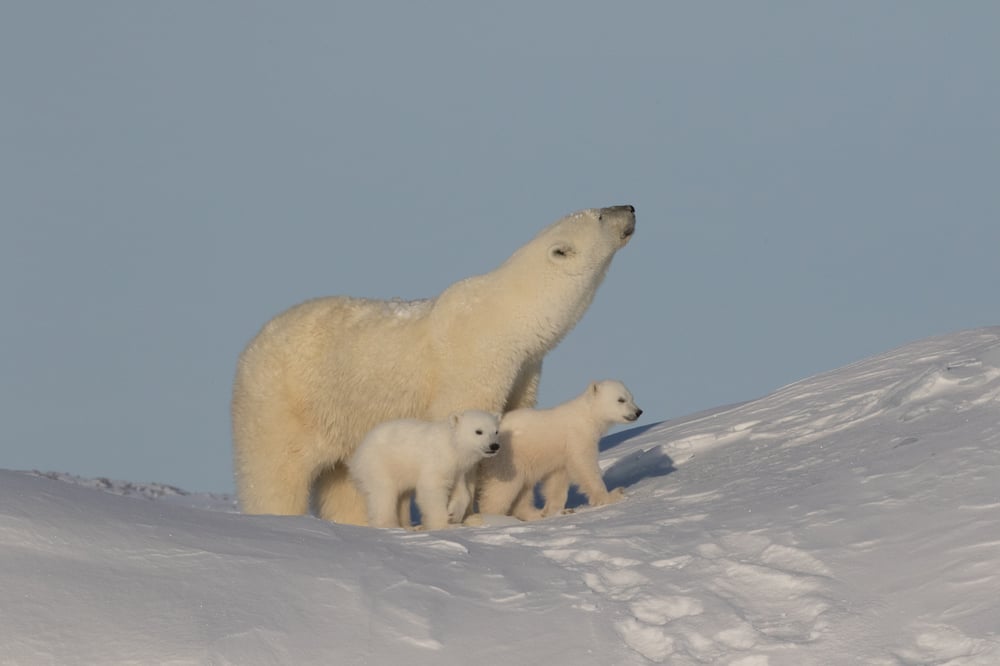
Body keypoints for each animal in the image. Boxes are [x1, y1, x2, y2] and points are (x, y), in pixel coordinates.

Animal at [348, 411, 501, 530]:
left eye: (496, 431)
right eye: (478, 431)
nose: (494, 446)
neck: (452, 445)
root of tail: (357, 455)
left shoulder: (457, 469)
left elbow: (461, 491)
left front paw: (453, 514)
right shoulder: (437, 460)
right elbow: (432, 489)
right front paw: (444, 525)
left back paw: (408, 526)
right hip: (379, 465)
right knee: (383, 494)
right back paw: (389, 525)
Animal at [477, 380, 642, 521]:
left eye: (632, 397)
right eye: (621, 399)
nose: (638, 411)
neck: (587, 415)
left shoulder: (561, 453)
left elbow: (557, 480)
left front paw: (557, 510)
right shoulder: (577, 437)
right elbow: (585, 465)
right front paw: (613, 495)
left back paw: (535, 514)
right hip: (508, 458)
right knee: (501, 490)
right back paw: (494, 518)